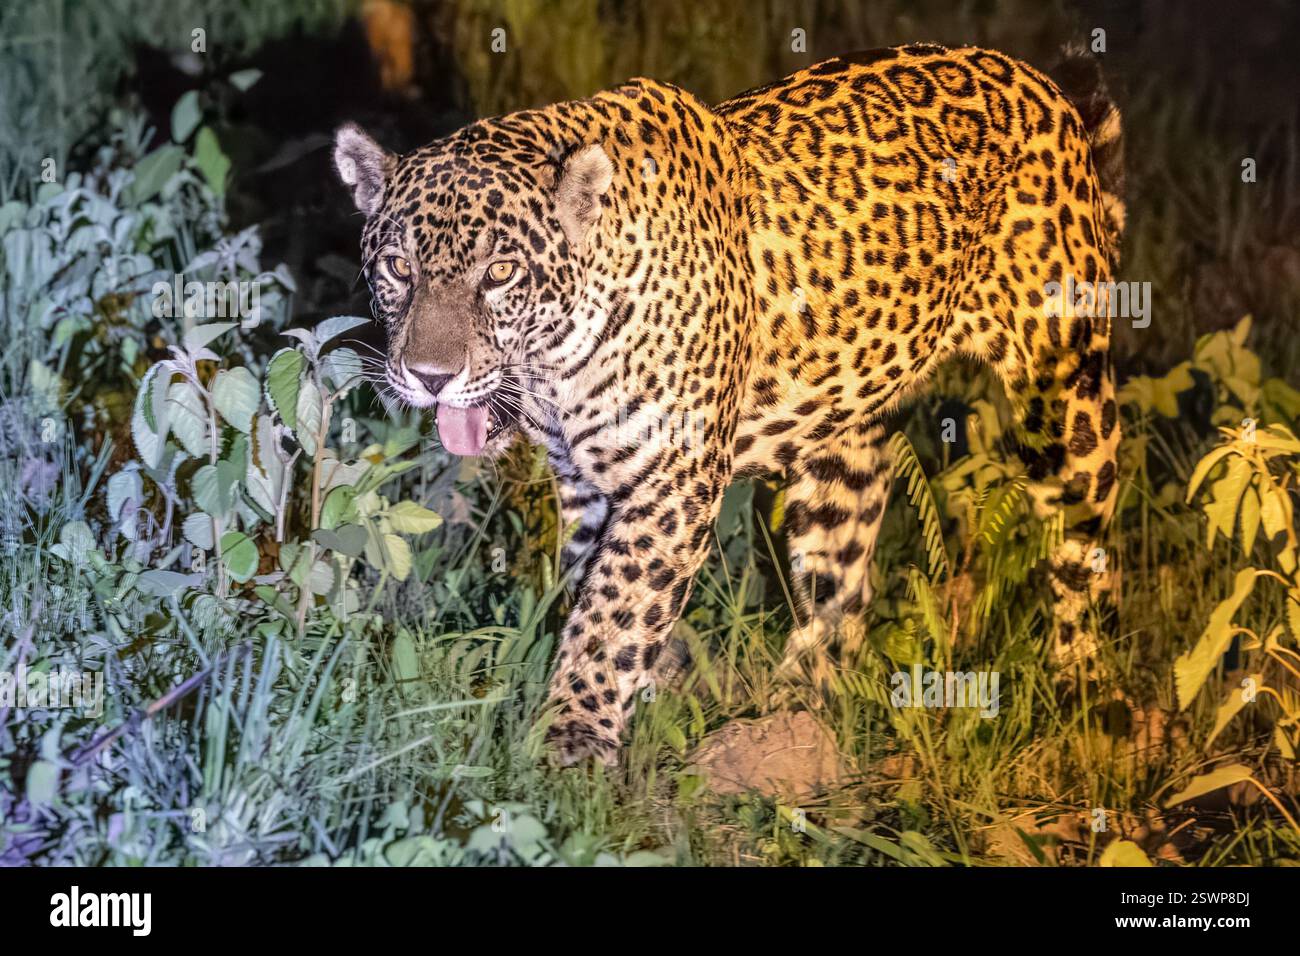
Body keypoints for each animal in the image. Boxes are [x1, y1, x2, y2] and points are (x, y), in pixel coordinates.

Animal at [333, 42, 1126, 766]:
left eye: (500, 273)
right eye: (398, 267)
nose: (429, 375)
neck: (554, 365)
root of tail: (1045, 86)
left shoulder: (672, 481)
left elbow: (613, 610)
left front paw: (572, 743)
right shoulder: (587, 485)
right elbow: (597, 595)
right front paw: (631, 699)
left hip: (1066, 401)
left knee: (1086, 555)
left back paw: (1090, 703)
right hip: (842, 454)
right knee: (844, 584)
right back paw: (801, 712)